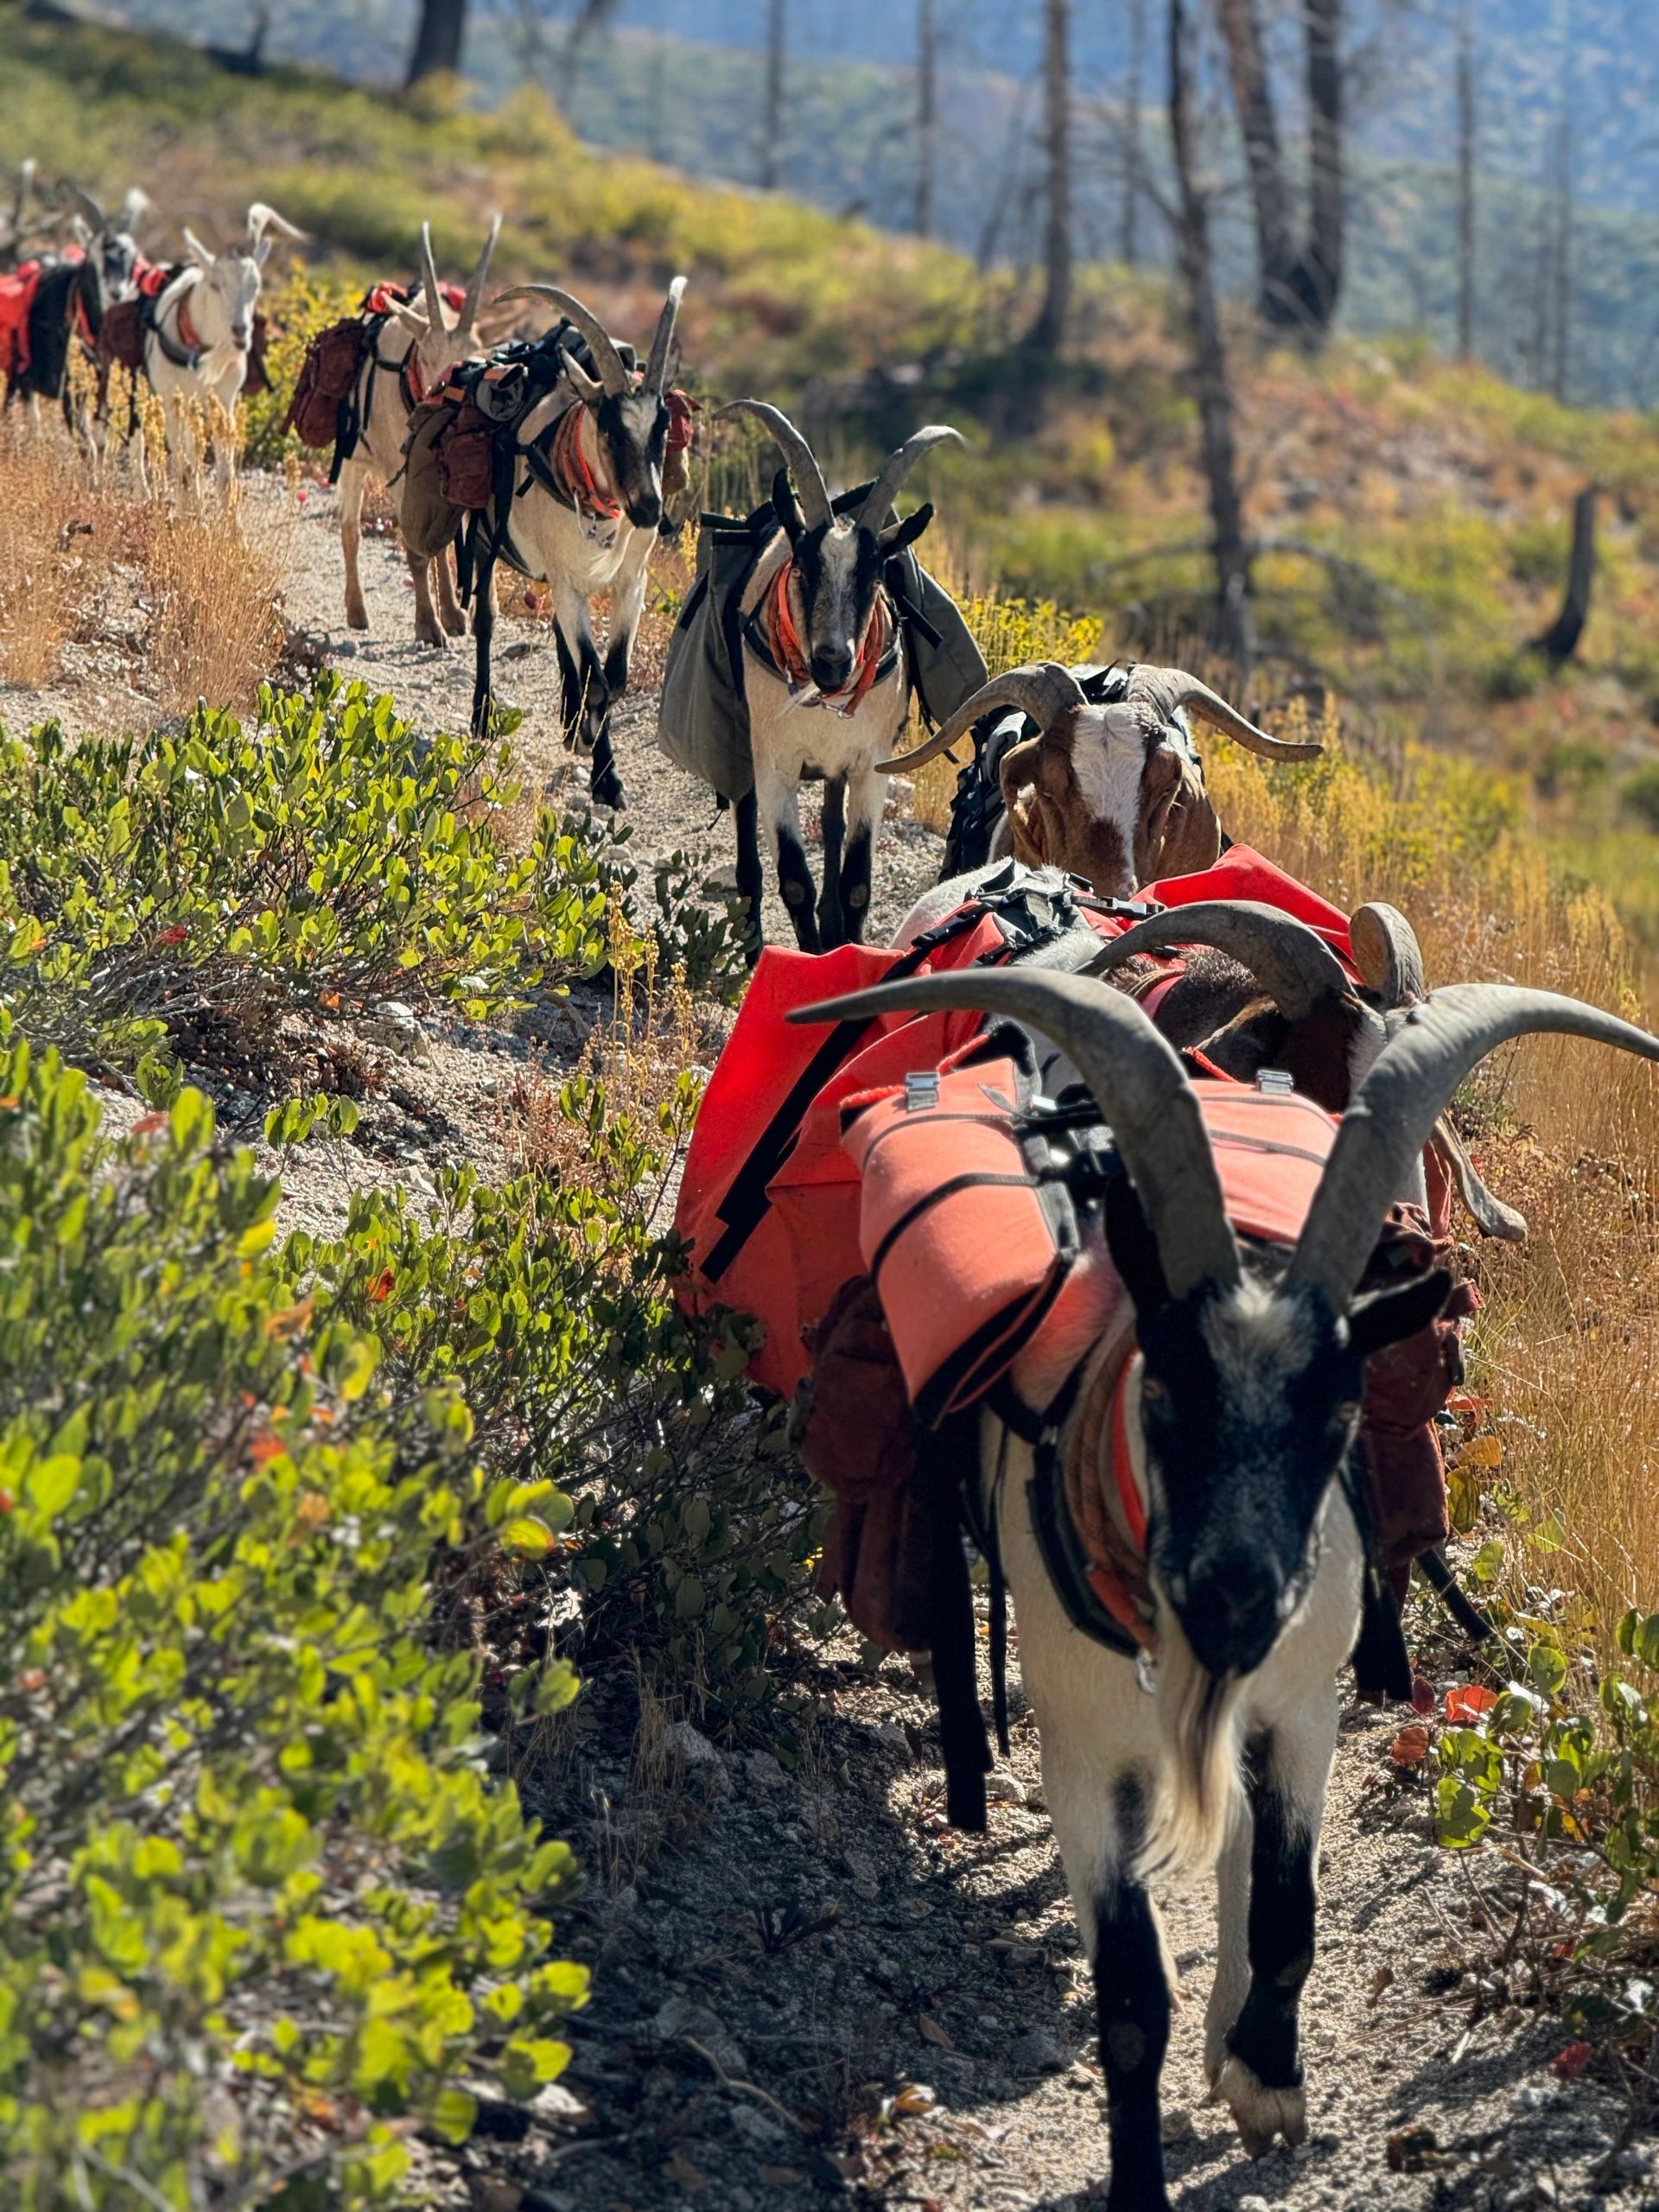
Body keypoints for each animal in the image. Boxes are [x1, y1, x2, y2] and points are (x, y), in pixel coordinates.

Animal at [137, 202, 304, 491]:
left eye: (255, 285)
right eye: (215, 284)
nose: (240, 331)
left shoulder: (224, 399)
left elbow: (224, 475)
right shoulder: (170, 400)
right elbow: (185, 471)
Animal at [337, 217, 500, 648]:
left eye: (479, 351)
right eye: (425, 354)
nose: (454, 397)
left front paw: (467, 615)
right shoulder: (402, 474)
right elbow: (414, 548)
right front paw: (428, 626)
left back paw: (454, 614)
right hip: (354, 461)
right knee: (350, 527)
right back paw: (357, 612)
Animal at [463, 275, 688, 808]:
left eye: (663, 427)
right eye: (610, 428)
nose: (649, 511)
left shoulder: (631, 581)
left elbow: (616, 678)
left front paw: (587, 740)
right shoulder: (567, 580)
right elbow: (596, 679)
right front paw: (606, 778)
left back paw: (570, 722)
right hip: (484, 539)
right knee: (486, 619)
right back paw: (483, 715)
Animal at [710, 400, 965, 956]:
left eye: (874, 576)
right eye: (804, 570)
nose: (832, 661)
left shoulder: (870, 765)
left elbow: (856, 881)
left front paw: (847, 946)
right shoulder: (776, 763)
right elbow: (793, 880)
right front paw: (802, 958)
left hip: (836, 769)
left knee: (830, 823)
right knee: (747, 833)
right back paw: (753, 939)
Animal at [792, 960, 1659, 2209]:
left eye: (1340, 1406)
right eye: (1162, 1392)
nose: (1238, 1594)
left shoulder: (1301, 1707)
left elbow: (1290, 1910)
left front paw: (1267, 2079)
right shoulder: (1083, 1752)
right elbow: (1127, 1996)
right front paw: (1144, 2173)